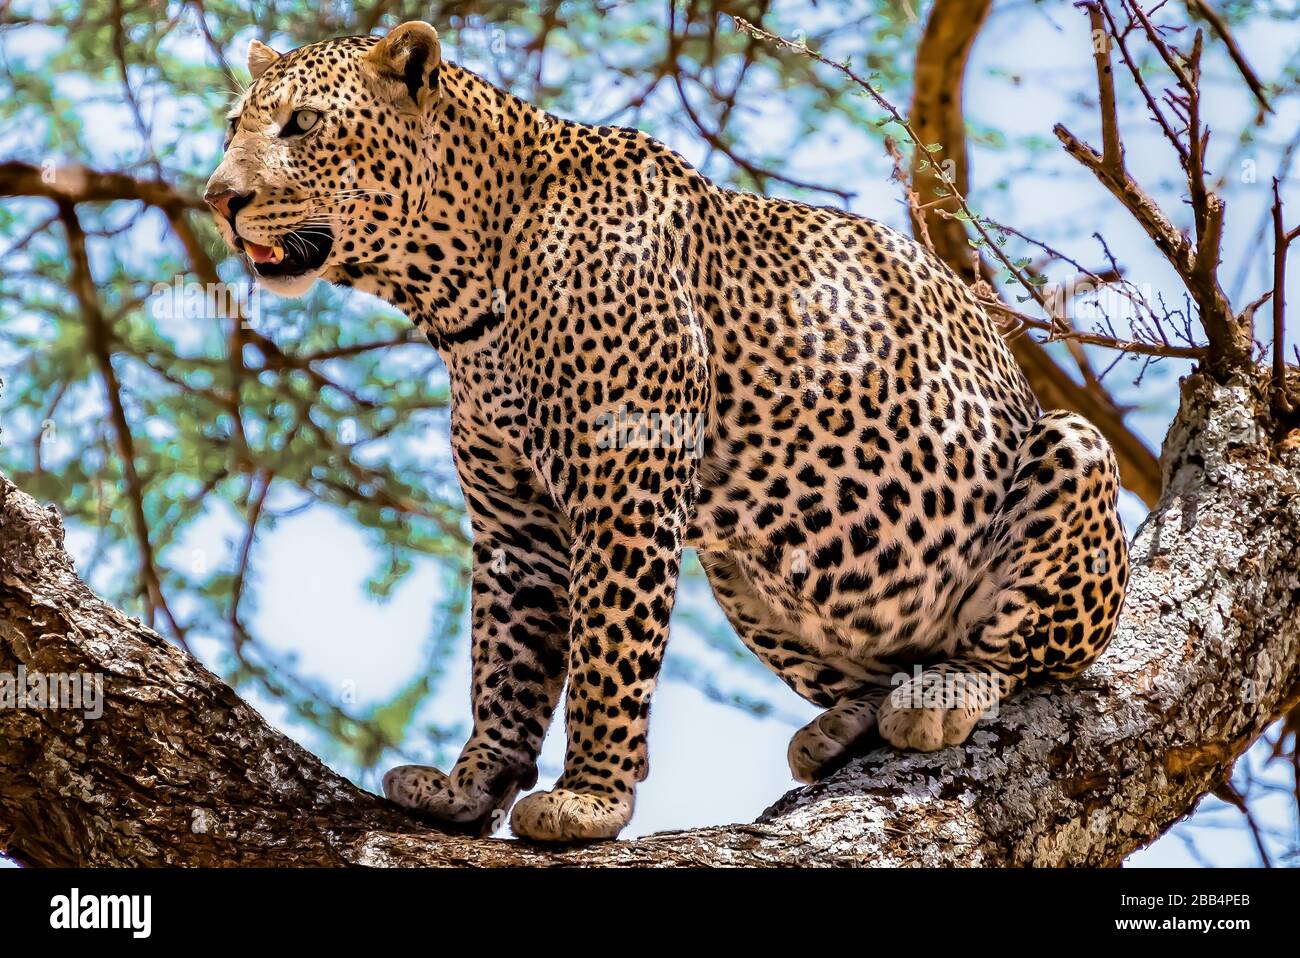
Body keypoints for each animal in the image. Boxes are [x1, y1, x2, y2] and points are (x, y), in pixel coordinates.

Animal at [204, 21, 1130, 842]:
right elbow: (502, 661)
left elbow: (608, 651)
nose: (219, 198)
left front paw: (587, 802)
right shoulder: (515, 526)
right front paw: (471, 788)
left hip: (1070, 455)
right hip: (742, 571)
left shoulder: (626, 485)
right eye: (233, 126)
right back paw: (842, 725)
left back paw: (945, 693)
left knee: (1025, 651)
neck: (457, 294)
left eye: (302, 124)